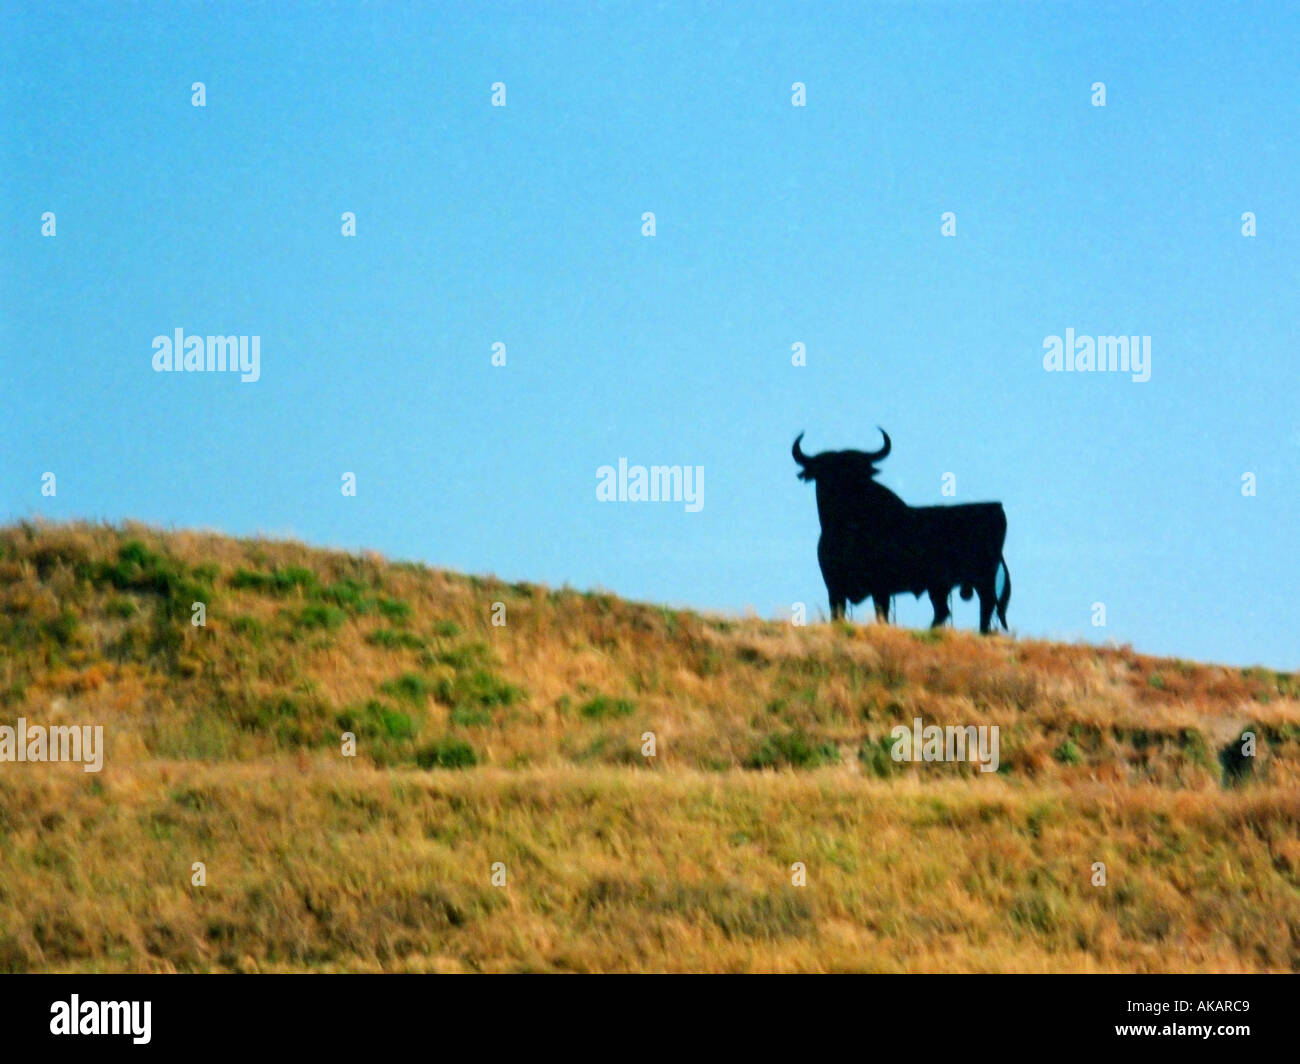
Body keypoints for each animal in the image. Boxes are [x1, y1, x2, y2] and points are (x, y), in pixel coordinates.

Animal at [793, 429, 1011, 633]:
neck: (847, 529)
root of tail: (997, 507)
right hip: (940, 585)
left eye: (858, 471)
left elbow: (881, 614)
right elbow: (837, 615)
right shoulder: (834, 587)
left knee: (986, 604)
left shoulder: (881, 586)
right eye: (824, 471)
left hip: (982, 576)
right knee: (944, 611)